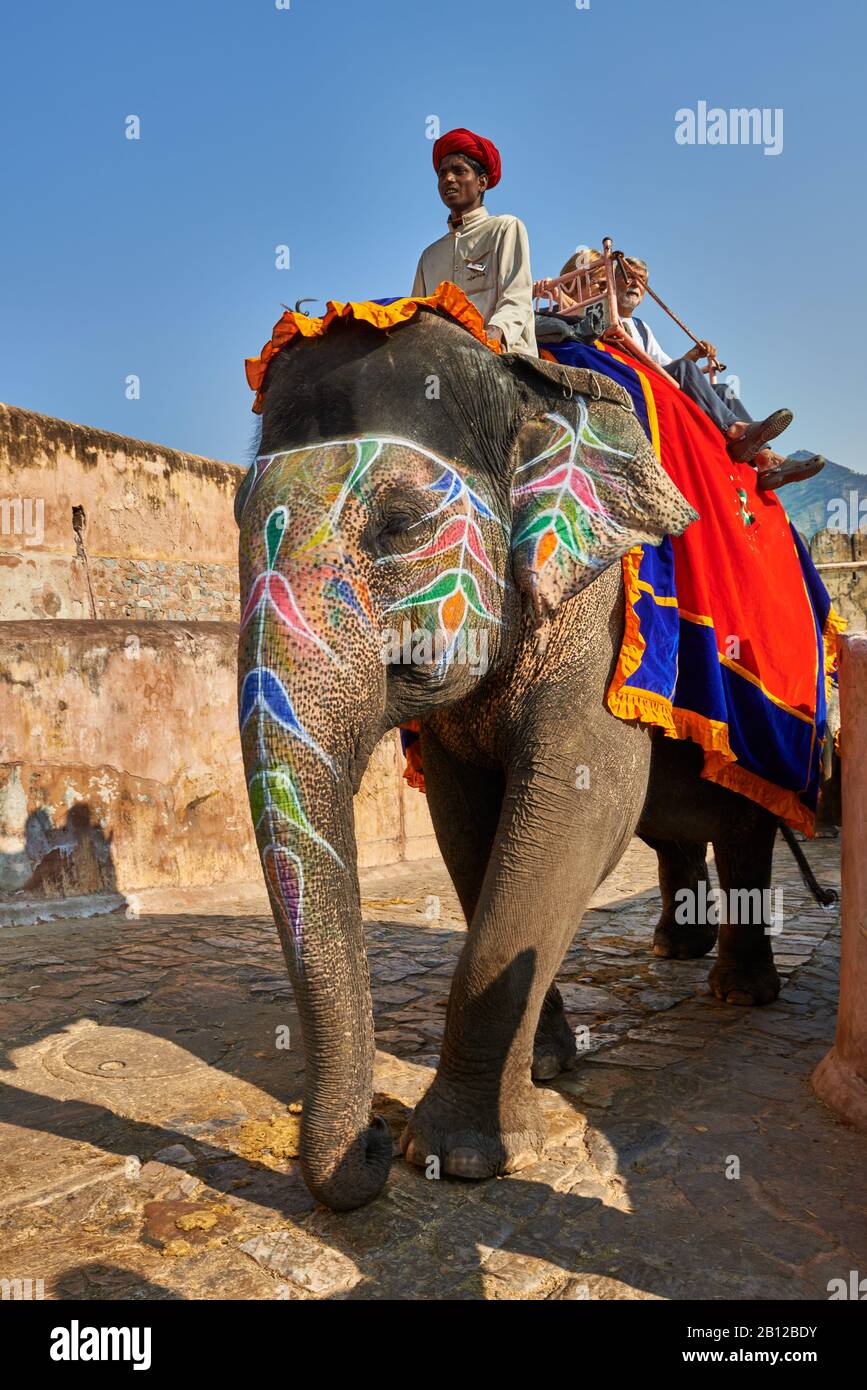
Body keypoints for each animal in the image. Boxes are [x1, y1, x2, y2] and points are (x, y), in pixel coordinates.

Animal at [235, 306, 791, 1212]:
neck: (521, 385)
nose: (372, 1137)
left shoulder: (601, 612)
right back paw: (674, 952)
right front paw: (546, 1065)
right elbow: (466, 824)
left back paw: (737, 994)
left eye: (399, 524)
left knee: (743, 829)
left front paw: (457, 1156)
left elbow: (584, 801)